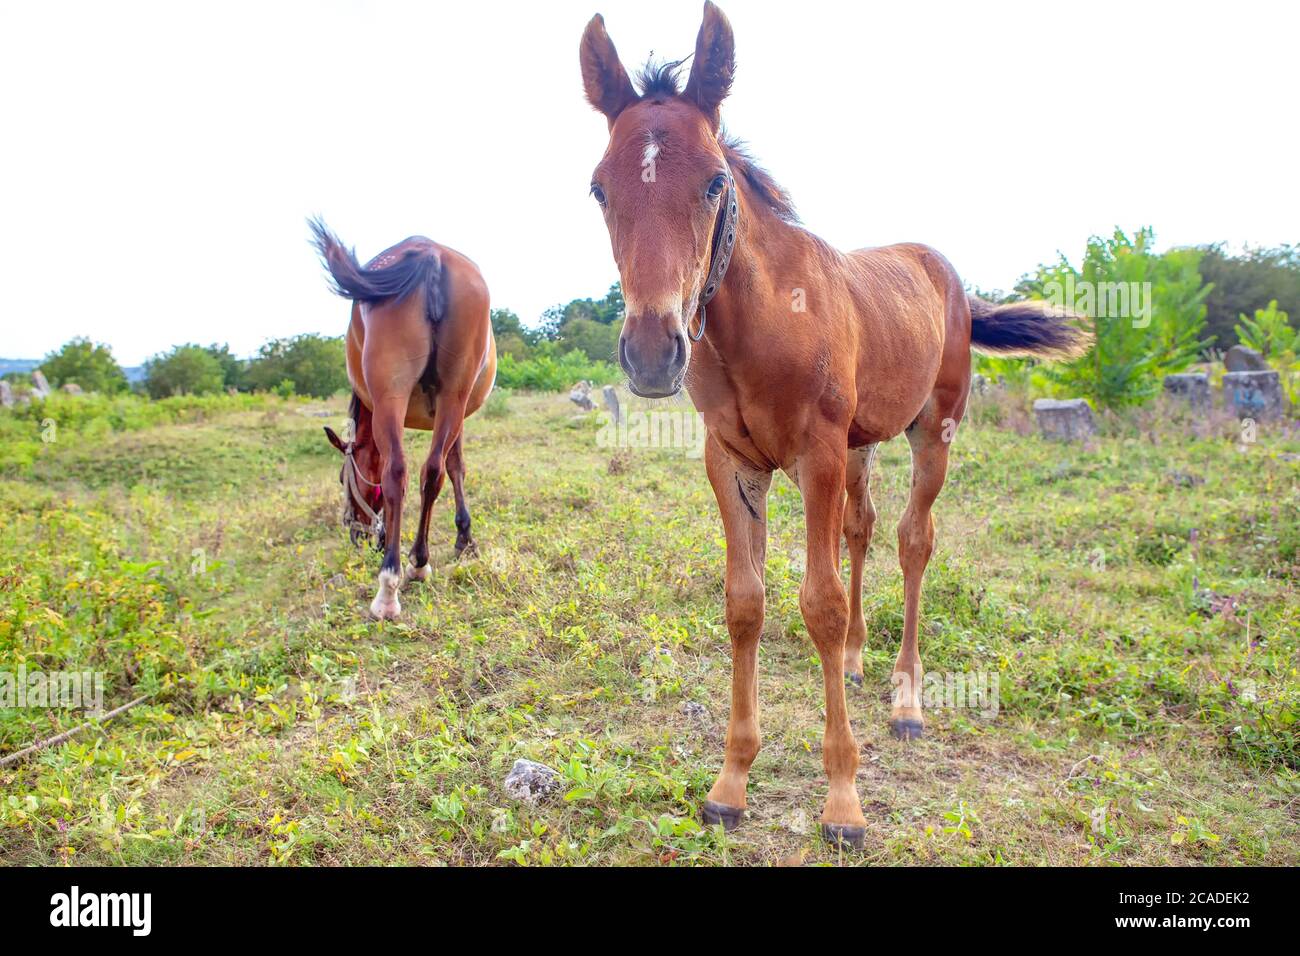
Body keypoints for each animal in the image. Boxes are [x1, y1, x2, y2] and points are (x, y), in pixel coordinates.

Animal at [310, 219, 497, 620]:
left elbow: (446, 469)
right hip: (450, 396)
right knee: (430, 472)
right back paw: (417, 563)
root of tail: (429, 254)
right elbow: (451, 468)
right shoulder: (454, 412)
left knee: (397, 471)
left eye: (342, 479)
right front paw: (463, 540)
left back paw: (390, 582)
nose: (356, 533)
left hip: (391, 397)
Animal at [578, 2, 1088, 848]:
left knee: (914, 539)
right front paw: (730, 783)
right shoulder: (731, 461)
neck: (761, 322)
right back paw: (854, 659)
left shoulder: (814, 454)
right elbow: (745, 602)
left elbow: (817, 603)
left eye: (714, 181)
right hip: (860, 446)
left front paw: (844, 799)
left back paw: (906, 701)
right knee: (863, 529)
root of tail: (949, 277)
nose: (653, 351)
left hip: (932, 430)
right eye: (598, 189)